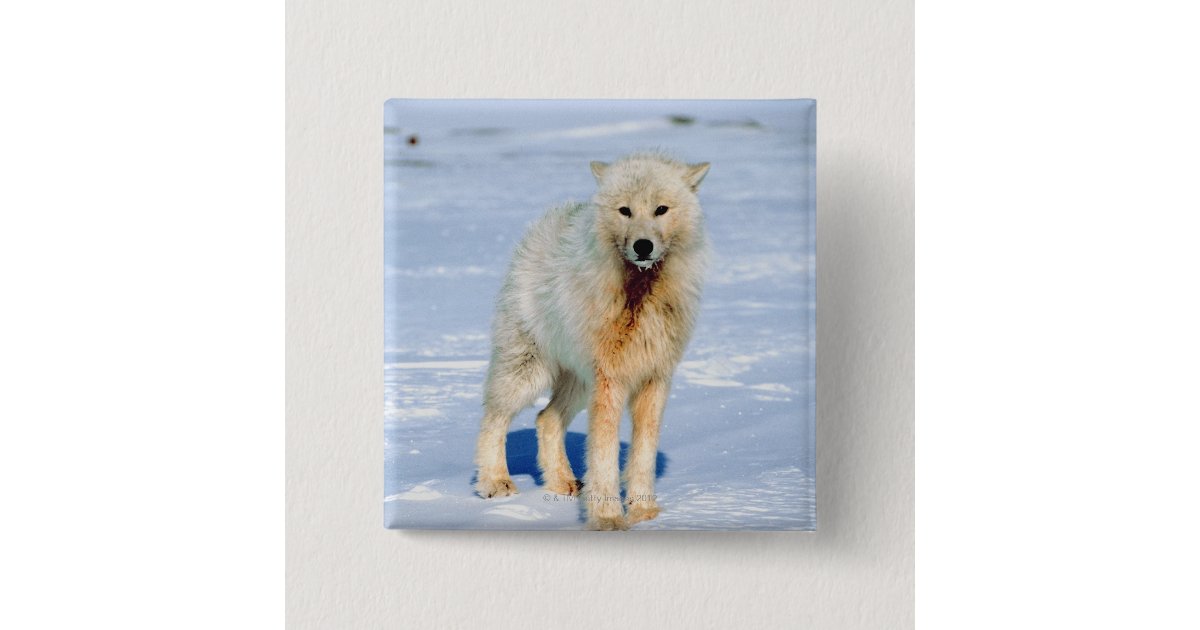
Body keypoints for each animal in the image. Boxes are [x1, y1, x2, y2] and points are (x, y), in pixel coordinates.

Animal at [473, 152, 711, 530]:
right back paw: (495, 483)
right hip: (530, 374)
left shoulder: (655, 379)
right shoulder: (610, 382)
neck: (638, 296)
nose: (643, 246)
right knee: (493, 418)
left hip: (579, 384)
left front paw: (644, 514)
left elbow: (643, 454)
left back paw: (561, 483)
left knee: (545, 419)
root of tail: (543, 225)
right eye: (625, 211)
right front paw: (609, 519)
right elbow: (604, 456)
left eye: (661, 209)